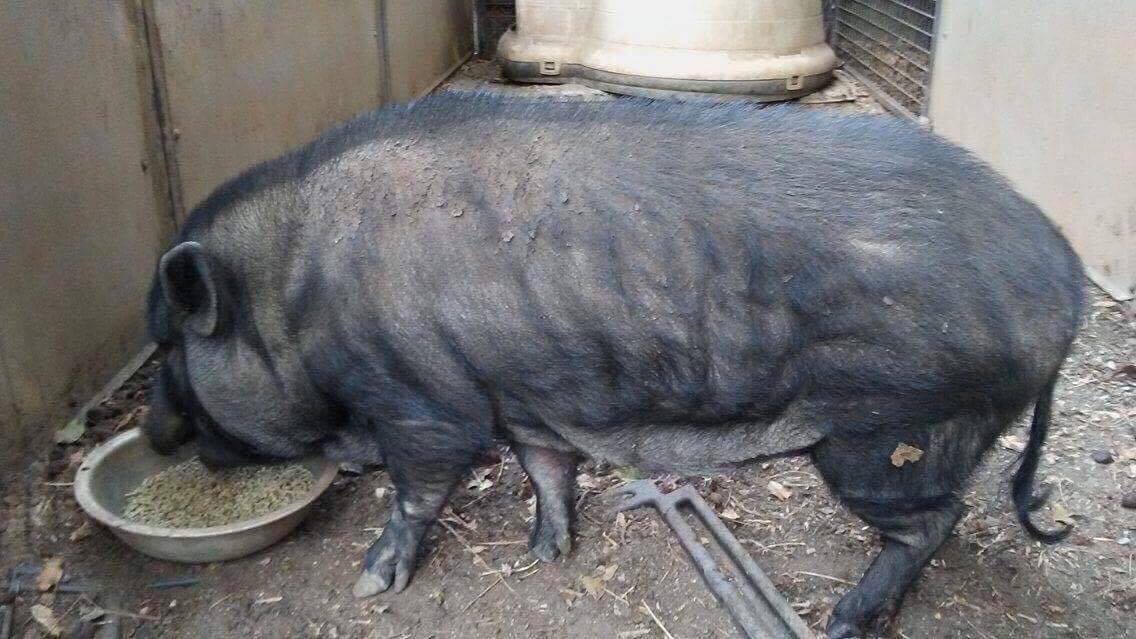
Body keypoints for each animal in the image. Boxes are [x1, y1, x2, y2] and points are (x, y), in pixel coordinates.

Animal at [142, 92, 1084, 638]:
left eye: (167, 347)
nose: (153, 435)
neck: (292, 300)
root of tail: (1068, 286)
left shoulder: (424, 401)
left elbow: (419, 487)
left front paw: (373, 583)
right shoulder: (523, 394)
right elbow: (546, 467)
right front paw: (545, 552)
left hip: (889, 432)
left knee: (937, 517)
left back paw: (845, 622)